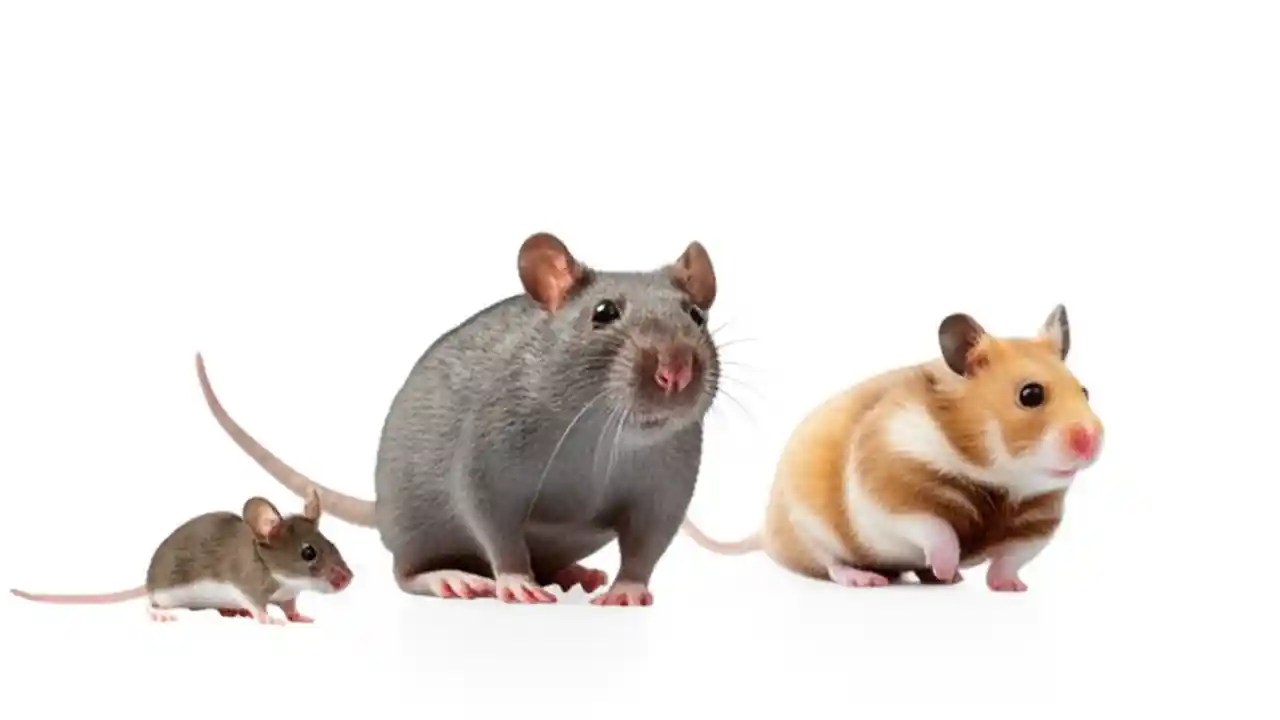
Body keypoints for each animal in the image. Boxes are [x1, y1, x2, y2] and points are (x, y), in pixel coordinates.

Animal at [10, 487, 354, 622]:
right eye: (308, 553)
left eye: (331, 543)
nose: (348, 579)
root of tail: (148, 581)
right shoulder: (247, 586)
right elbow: (257, 606)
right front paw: (270, 620)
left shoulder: (288, 594)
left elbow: (291, 607)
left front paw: (299, 617)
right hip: (166, 592)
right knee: (148, 604)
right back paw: (161, 615)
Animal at [194, 232, 721, 606]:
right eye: (605, 312)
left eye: (696, 315)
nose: (676, 369)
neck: (605, 436)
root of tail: (380, 506)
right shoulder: (495, 442)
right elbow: (487, 510)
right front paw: (515, 580)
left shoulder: (671, 468)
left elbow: (651, 535)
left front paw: (628, 587)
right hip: (413, 525)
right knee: (404, 572)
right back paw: (449, 577)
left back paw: (572, 572)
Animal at [681, 305, 1104, 592]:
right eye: (1030, 395)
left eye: (1085, 391)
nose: (1092, 442)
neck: (995, 475)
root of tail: (765, 534)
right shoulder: (892, 491)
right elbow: (938, 532)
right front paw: (948, 567)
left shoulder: (1035, 523)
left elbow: (1011, 560)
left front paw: (1012, 588)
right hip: (807, 525)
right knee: (829, 563)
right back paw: (872, 578)